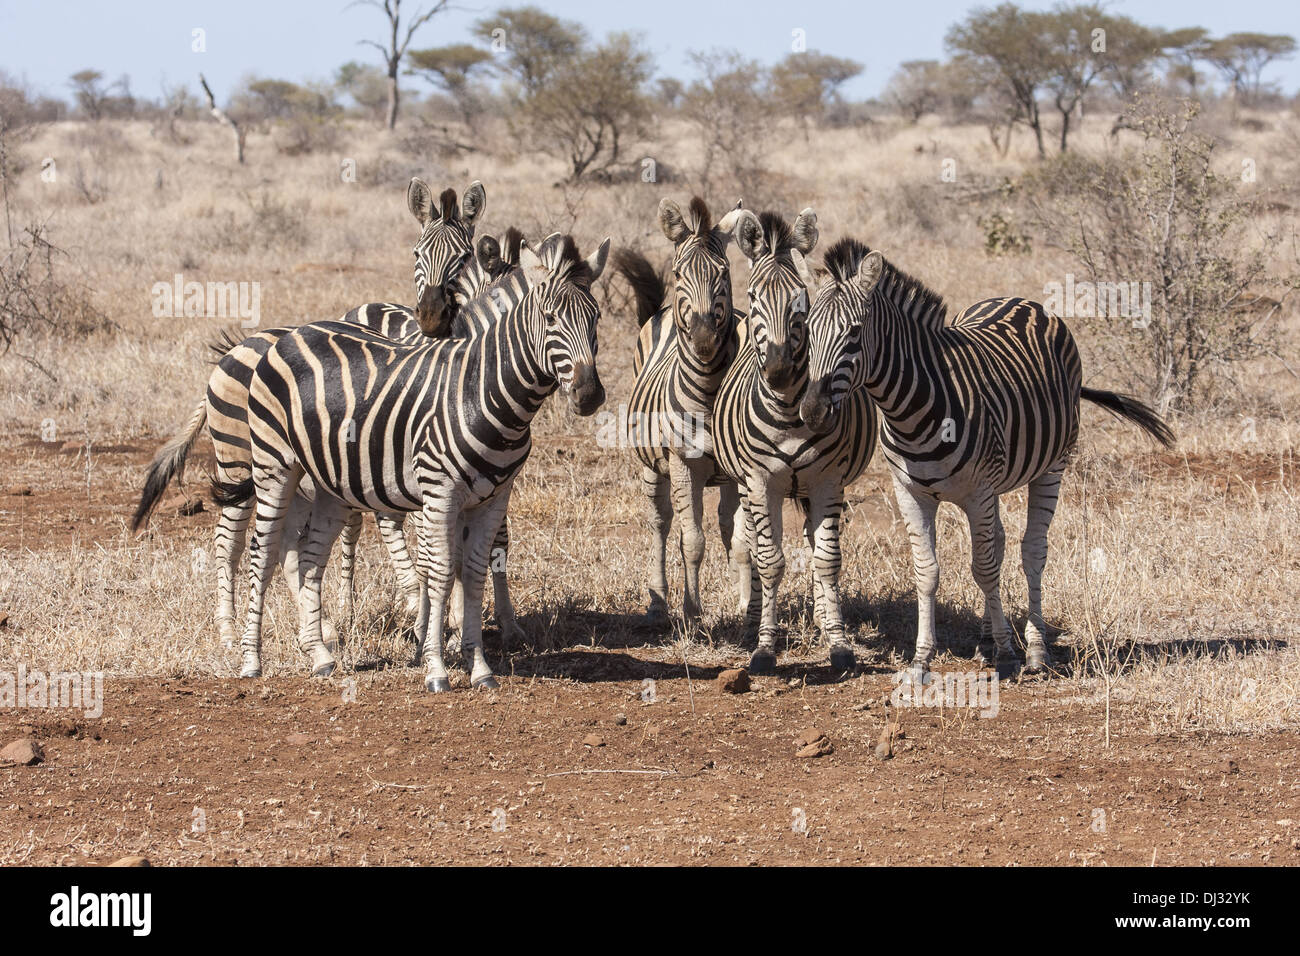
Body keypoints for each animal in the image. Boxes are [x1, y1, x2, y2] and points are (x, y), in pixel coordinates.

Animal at [233, 235, 608, 691]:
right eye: (551, 318)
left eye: (596, 318)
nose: (590, 394)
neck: (482, 390)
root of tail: (294, 332)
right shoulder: (439, 492)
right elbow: (442, 570)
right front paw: (435, 664)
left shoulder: (494, 497)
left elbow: (476, 569)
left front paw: (478, 665)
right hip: (274, 465)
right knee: (263, 554)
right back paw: (251, 661)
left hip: (330, 484)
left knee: (309, 559)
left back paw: (321, 655)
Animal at [616, 197, 743, 624]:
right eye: (678, 273)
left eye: (725, 273)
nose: (704, 340)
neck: (709, 389)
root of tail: (665, 310)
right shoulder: (683, 462)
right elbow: (694, 540)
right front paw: (691, 611)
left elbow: (740, 540)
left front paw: (747, 607)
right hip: (652, 464)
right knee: (661, 521)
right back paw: (658, 602)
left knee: (725, 524)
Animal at [707, 209, 878, 671]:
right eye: (753, 295)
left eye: (801, 301)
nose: (781, 371)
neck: (788, 413)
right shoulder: (760, 481)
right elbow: (770, 562)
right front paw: (764, 647)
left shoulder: (827, 480)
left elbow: (827, 560)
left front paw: (838, 642)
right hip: (747, 488)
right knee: (751, 545)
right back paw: (750, 624)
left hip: (809, 488)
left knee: (813, 542)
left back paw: (820, 618)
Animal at [795, 243, 1175, 686]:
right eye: (807, 331)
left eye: (854, 333)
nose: (813, 411)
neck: (913, 410)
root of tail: (1022, 300)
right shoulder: (909, 492)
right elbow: (929, 572)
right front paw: (922, 661)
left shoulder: (978, 492)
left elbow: (985, 568)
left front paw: (1009, 657)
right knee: (1000, 544)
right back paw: (985, 642)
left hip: (1052, 466)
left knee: (1031, 551)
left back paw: (1035, 650)